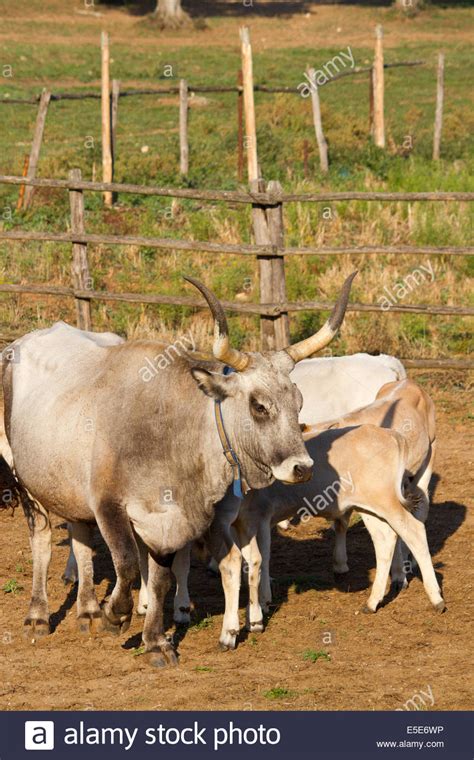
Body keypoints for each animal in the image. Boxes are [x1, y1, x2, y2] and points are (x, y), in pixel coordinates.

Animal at [3, 273, 356, 667]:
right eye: (259, 405)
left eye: (299, 401)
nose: (302, 468)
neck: (167, 426)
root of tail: (21, 342)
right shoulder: (109, 506)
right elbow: (127, 562)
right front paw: (116, 615)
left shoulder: (168, 522)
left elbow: (159, 578)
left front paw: (155, 641)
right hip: (26, 483)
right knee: (42, 540)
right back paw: (39, 615)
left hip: (68, 487)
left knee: (79, 539)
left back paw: (88, 610)